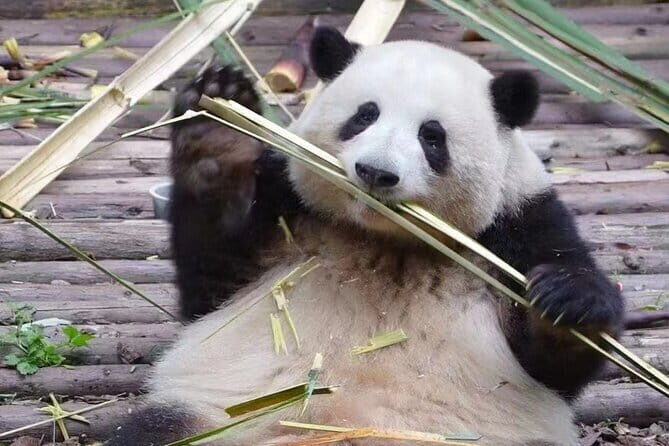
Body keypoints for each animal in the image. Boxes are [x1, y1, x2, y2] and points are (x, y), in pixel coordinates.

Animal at [108, 27, 623, 446]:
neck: (386, 240)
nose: (376, 172)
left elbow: (556, 367)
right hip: (215, 418)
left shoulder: (519, 227)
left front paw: (568, 303)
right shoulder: (285, 210)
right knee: (155, 429)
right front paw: (217, 130)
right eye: (364, 116)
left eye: (432, 136)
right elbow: (212, 282)